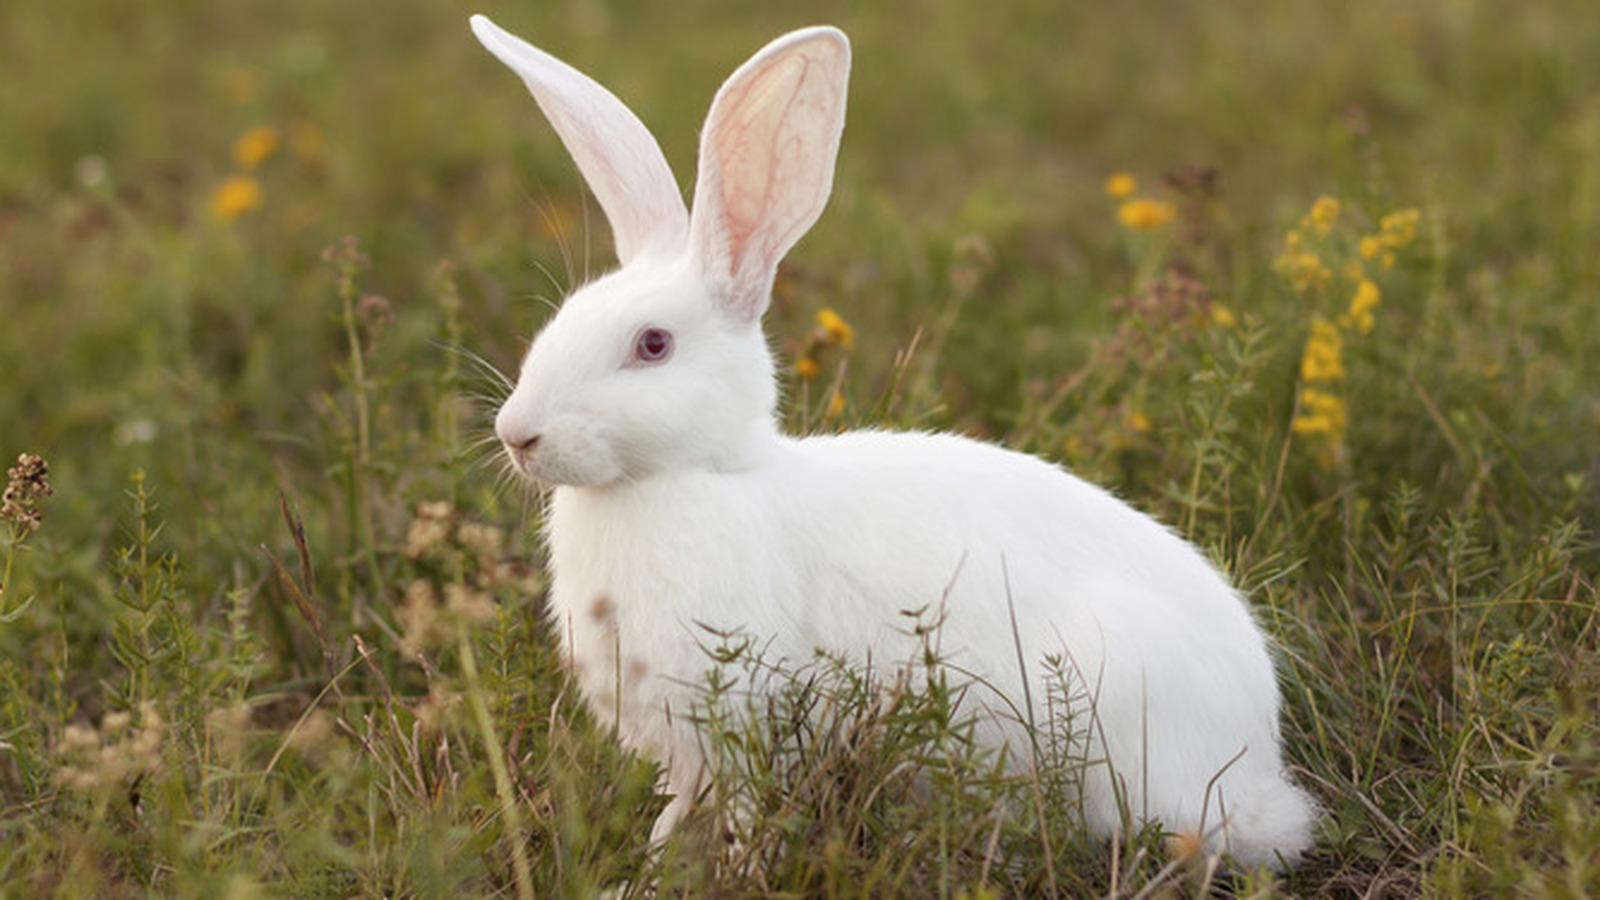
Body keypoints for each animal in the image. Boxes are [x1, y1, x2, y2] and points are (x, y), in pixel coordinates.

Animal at [469, 14, 1317, 870]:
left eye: (652, 345)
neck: (698, 474)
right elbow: (679, 810)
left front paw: (730, 869)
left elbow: (742, 809)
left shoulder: (743, 721)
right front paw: (649, 866)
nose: (517, 434)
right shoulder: (687, 749)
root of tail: (1257, 763)